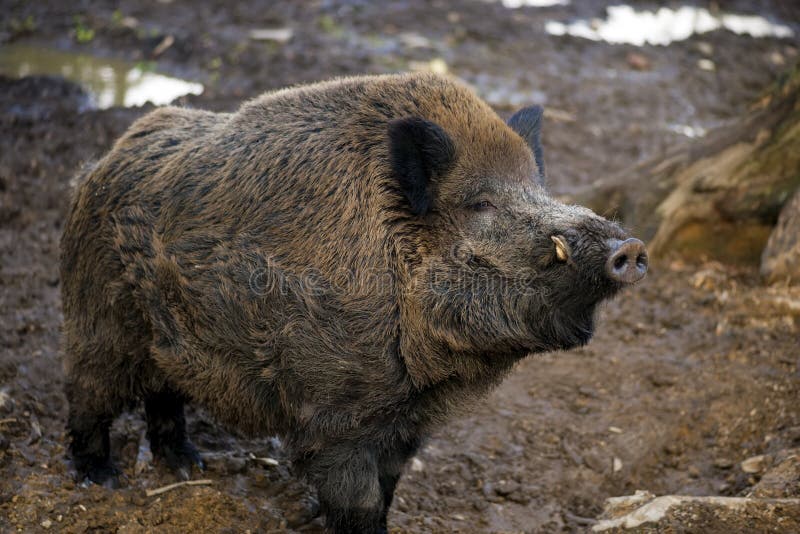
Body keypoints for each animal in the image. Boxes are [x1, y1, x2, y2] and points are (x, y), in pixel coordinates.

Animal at [60, 72, 647, 533]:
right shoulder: (335, 413)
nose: (631, 247)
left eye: (538, 190)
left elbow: (388, 490)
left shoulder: (405, 423)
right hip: (100, 318)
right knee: (87, 393)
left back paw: (189, 467)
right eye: (481, 203)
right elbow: (358, 499)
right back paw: (100, 479)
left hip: (164, 342)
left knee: (163, 394)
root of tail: (99, 166)